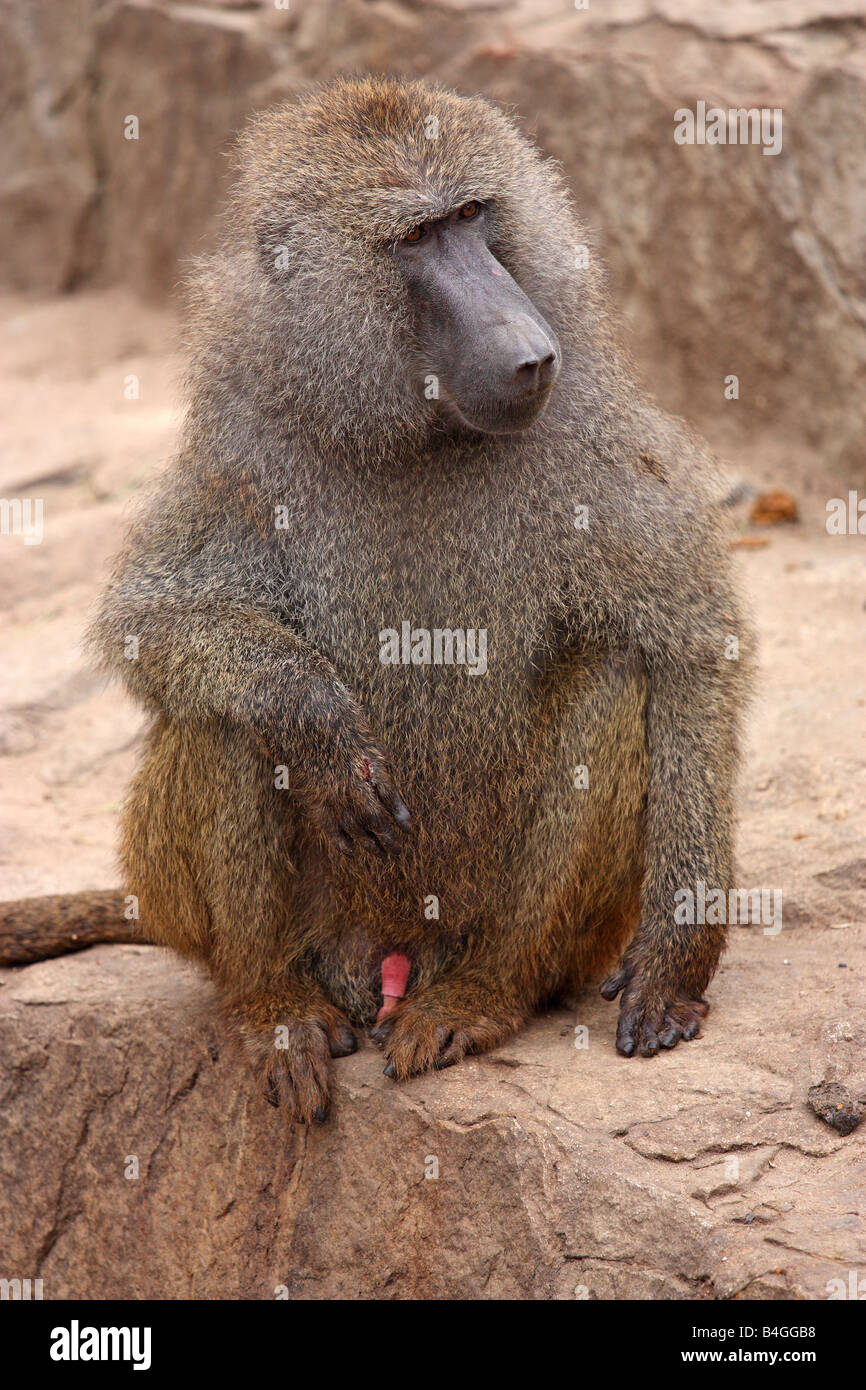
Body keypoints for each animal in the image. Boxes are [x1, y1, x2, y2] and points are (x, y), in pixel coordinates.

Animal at [0, 76, 752, 1124]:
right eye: (415, 238)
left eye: (474, 216)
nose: (528, 351)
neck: (417, 427)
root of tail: (391, 958)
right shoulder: (241, 427)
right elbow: (156, 622)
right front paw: (315, 717)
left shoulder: (594, 430)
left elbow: (688, 650)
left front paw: (676, 961)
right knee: (224, 717)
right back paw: (274, 1002)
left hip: (492, 916)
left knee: (609, 678)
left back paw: (484, 995)